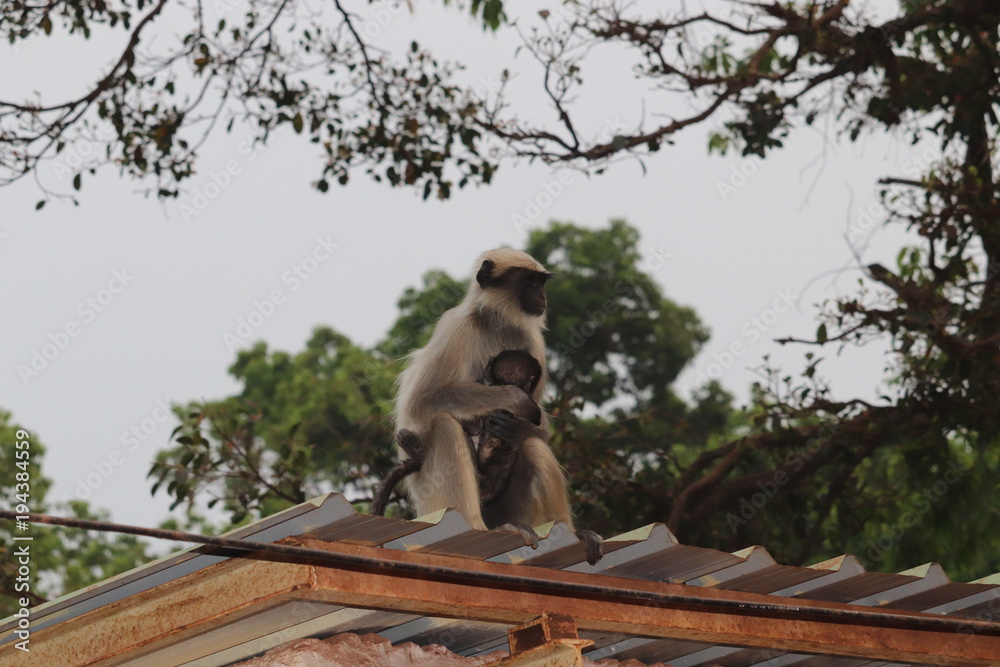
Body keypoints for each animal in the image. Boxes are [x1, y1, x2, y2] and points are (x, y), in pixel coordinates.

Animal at [390, 249, 603, 564]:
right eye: (528, 281)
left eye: (541, 282)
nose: (542, 296)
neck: (496, 322)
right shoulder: (457, 326)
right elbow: (423, 401)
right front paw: (515, 401)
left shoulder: (532, 343)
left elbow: (542, 433)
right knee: (444, 425)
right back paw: (480, 528)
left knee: (533, 445)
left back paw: (571, 534)